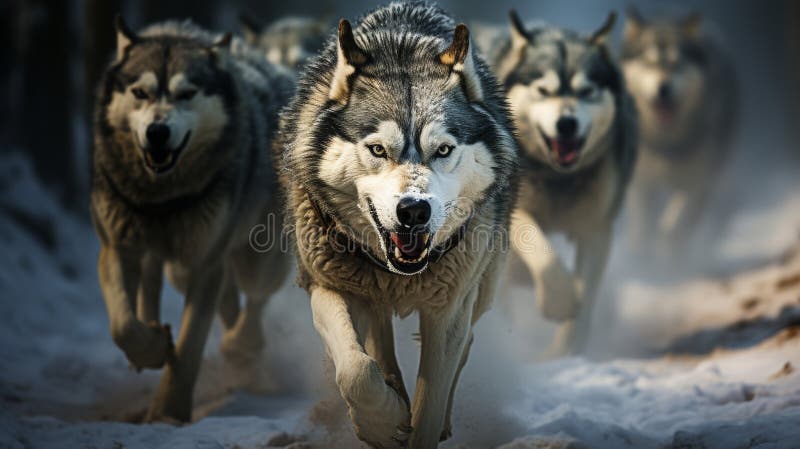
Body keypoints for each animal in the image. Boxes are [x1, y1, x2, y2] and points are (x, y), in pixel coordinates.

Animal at [91, 17, 293, 422]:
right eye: (140, 92)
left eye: (187, 93)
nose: (157, 132)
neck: (162, 198)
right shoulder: (118, 248)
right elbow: (124, 325)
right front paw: (153, 347)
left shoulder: (205, 263)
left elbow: (188, 349)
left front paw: (168, 413)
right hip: (178, 268)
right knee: (218, 298)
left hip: (255, 259)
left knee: (254, 301)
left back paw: (242, 350)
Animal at [276, 2, 518, 447]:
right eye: (377, 149)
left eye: (443, 150)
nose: (414, 210)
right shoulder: (325, 285)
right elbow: (357, 370)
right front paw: (383, 422)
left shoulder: (448, 309)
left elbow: (431, 401)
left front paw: (416, 424)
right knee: (379, 348)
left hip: (481, 286)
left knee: (467, 341)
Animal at [480, 11, 637, 356]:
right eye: (543, 90)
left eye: (586, 91)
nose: (567, 124)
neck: (557, 177)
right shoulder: (516, 212)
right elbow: (543, 253)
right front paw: (558, 300)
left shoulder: (596, 229)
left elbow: (586, 294)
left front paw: (565, 350)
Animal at [622, 8, 738, 258]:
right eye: (649, 62)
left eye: (678, 63)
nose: (663, 88)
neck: (666, 142)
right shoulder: (641, 183)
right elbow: (642, 226)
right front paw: (642, 255)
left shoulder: (698, 182)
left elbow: (674, 225)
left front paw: (667, 253)